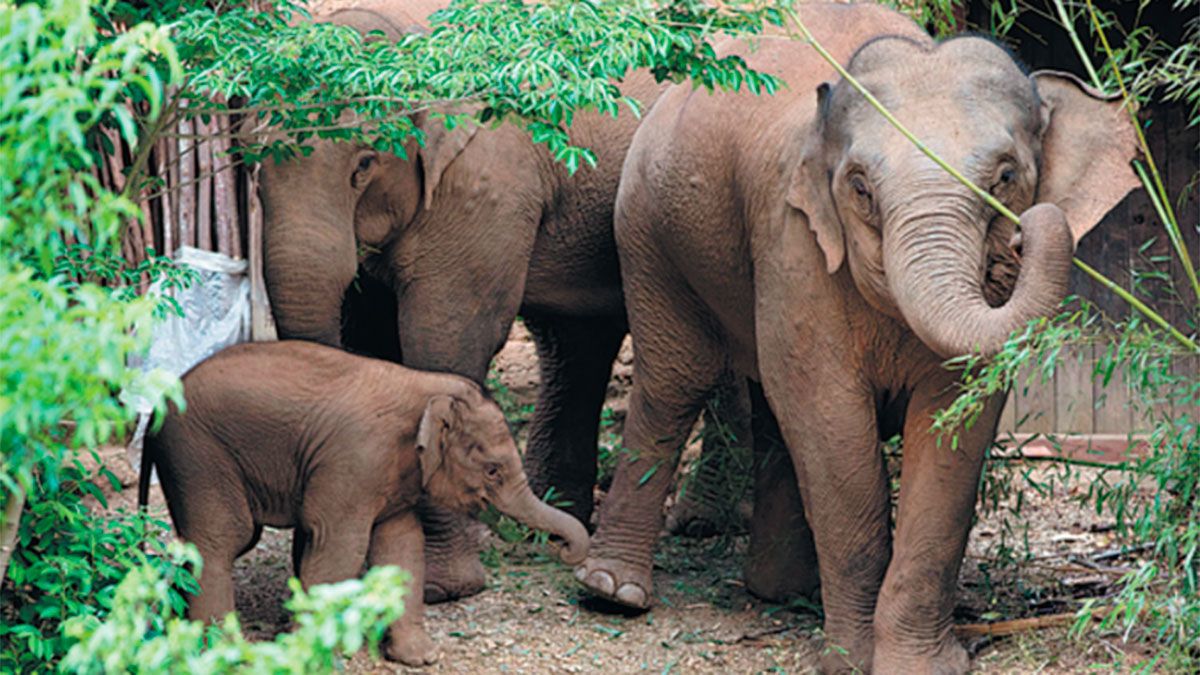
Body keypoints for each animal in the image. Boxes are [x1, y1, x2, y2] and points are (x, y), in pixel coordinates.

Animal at [139, 341, 588, 666]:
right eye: (493, 470)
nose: (565, 550)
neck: (424, 387)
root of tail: (156, 406)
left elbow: (402, 546)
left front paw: (421, 658)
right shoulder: (355, 460)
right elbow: (340, 547)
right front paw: (308, 655)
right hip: (197, 454)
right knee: (222, 539)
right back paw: (221, 649)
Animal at [257, 0, 666, 604]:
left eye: (365, 163)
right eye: (251, 166)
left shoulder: (485, 185)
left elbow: (442, 341)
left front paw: (443, 588)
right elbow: (373, 337)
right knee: (576, 338)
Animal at [576, 3, 1140, 673]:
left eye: (1006, 175)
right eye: (861, 187)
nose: (1022, 237)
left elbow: (953, 432)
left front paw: (922, 665)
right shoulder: (797, 243)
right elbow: (829, 421)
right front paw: (852, 662)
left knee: (767, 400)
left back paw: (779, 589)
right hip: (646, 234)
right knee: (674, 382)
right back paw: (614, 593)